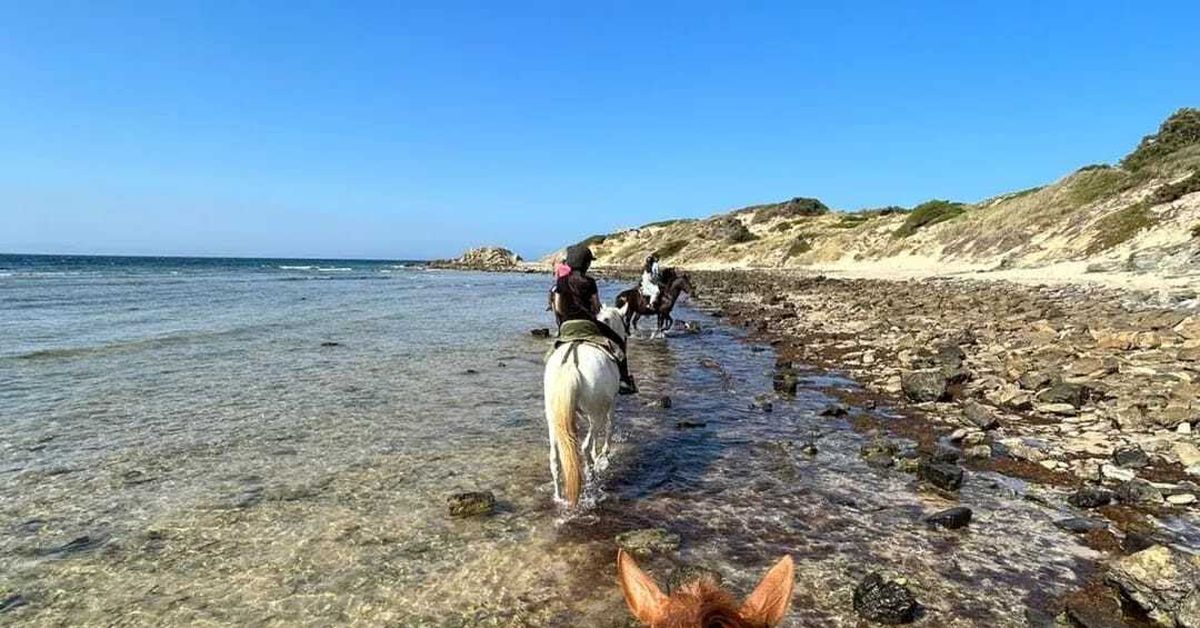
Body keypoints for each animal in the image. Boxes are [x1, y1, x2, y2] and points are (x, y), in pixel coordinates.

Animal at [543, 304, 629, 506]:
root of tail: (570, 364)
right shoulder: (611, 403)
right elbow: (609, 426)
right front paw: (604, 454)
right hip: (595, 414)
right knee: (585, 447)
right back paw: (592, 476)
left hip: (553, 418)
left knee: (555, 459)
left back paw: (559, 497)